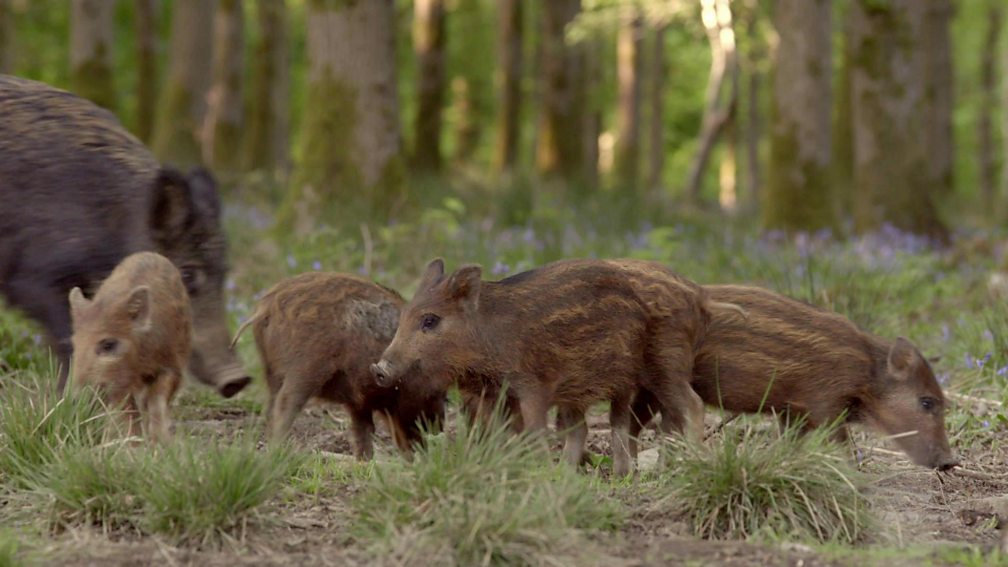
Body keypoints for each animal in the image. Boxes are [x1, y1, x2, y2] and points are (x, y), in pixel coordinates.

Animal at [68, 252, 191, 442]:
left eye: (108, 344)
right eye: (75, 344)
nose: (76, 398)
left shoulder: (173, 365)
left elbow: (157, 399)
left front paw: (161, 441)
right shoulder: (119, 387)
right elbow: (129, 411)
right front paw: (133, 443)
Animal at [230, 272, 445, 460]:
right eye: (434, 394)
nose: (437, 429)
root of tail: (264, 308)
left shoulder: (358, 402)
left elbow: (363, 430)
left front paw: (365, 462)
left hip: (271, 372)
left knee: (270, 408)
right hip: (305, 368)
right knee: (285, 405)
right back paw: (280, 451)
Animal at [371, 258, 732, 476]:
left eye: (430, 321)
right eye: (404, 317)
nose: (379, 368)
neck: (488, 340)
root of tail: (700, 302)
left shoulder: (533, 386)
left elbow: (535, 432)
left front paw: (535, 470)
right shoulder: (493, 394)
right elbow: (498, 433)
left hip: (663, 365)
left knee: (689, 405)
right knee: (595, 427)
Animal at [628, 284, 958, 470]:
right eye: (926, 402)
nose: (950, 462)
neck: (865, 376)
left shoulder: (794, 413)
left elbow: (789, 444)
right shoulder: (825, 406)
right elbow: (843, 446)